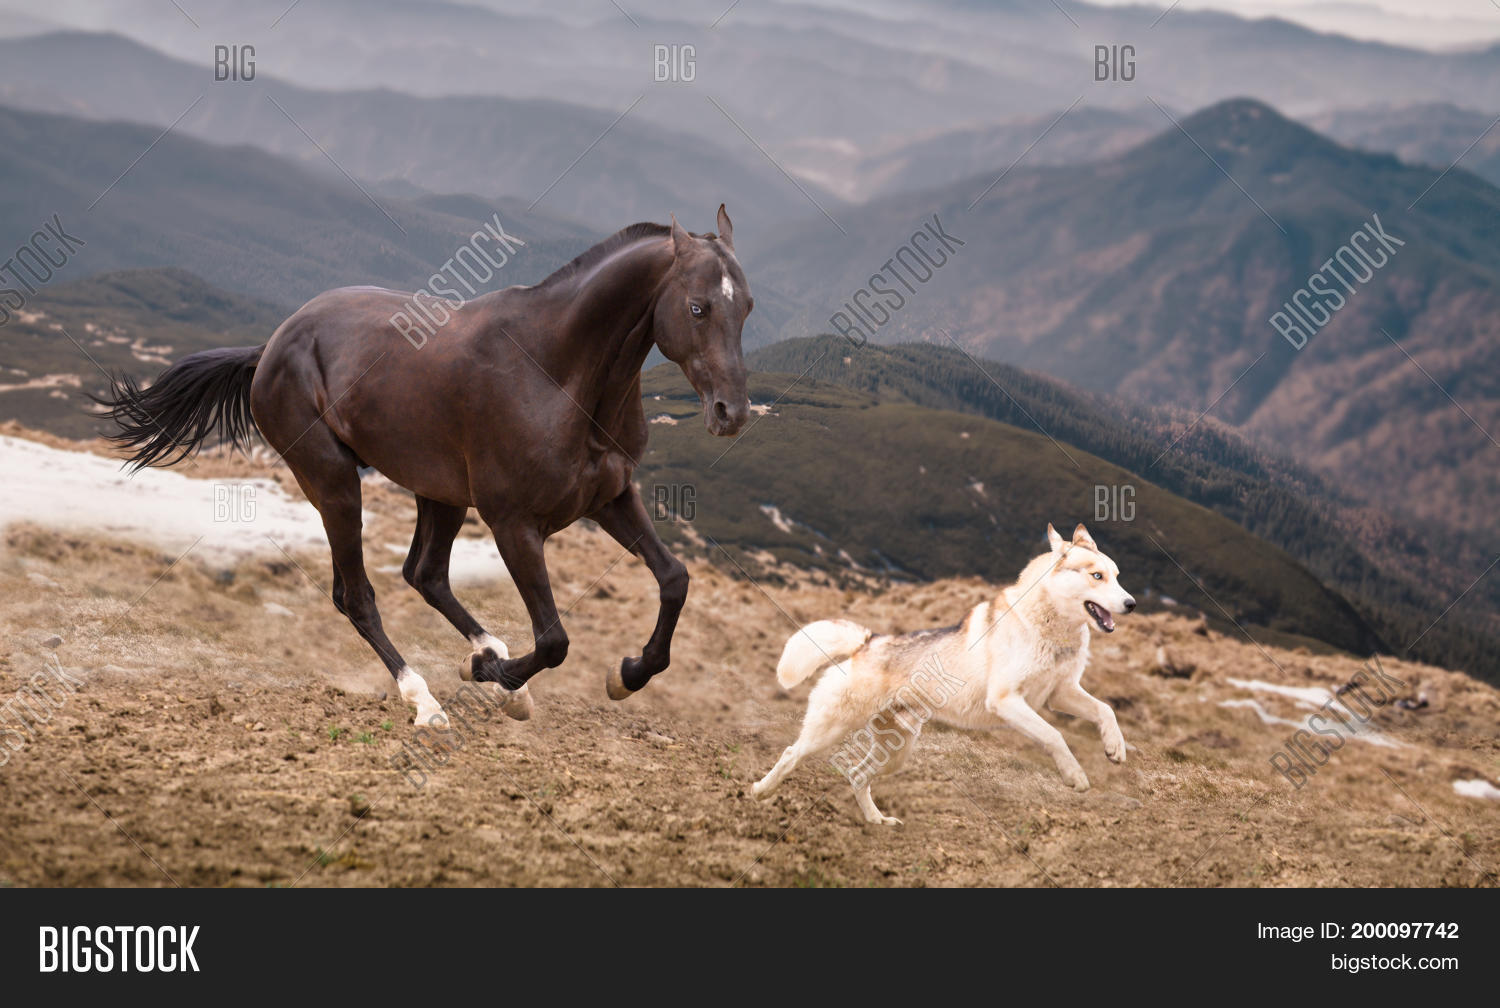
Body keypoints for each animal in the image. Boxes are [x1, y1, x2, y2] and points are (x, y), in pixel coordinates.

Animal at [95, 205, 752, 728]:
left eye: (747, 306)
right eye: (697, 307)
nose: (731, 413)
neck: (556, 371)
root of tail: (270, 347)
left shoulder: (610, 498)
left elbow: (674, 579)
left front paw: (626, 674)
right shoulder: (513, 523)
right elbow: (555, 640)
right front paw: (495, 677)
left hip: (440, 493)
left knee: (424, 573)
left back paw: (486, 655)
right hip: (334, 485)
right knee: (357, 595)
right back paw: (425, 699)